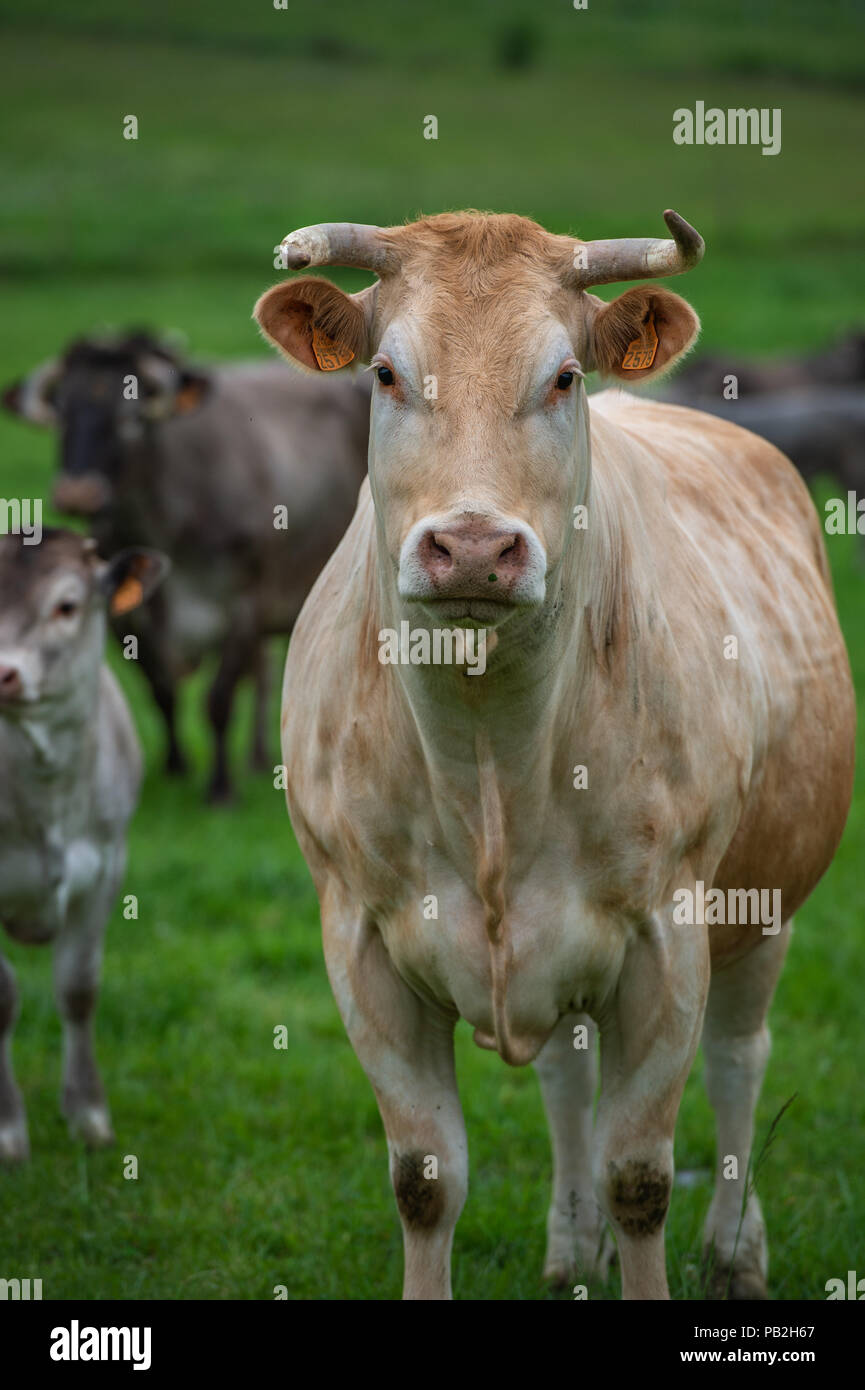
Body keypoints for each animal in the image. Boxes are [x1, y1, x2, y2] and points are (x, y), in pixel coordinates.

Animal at [0, 530, 166, 1160]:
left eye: (66, 606)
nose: (3, 673)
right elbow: (3, 995)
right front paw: (8, 1130)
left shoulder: (106, 865)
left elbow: (77, 989)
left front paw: (89, 1115)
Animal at [2, 333, 373, 800]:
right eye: (62, 411)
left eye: (132, 416)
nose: (78, 492)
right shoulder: (127, 618)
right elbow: (163, 692)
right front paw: (175, 767)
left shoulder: (242, 608)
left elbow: (219, 699)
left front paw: (220, 788)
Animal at [253, 211, 855, 1300]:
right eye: (387, 374)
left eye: (565, 375)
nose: (472, 548)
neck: (489, 756)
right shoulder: (358, 940)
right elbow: (425, 1180)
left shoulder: (667, 939)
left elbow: (639, 1176)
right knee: (570, 1074)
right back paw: (573, 1248)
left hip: (766, 902)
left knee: (740, 1060)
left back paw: (734, 1249)